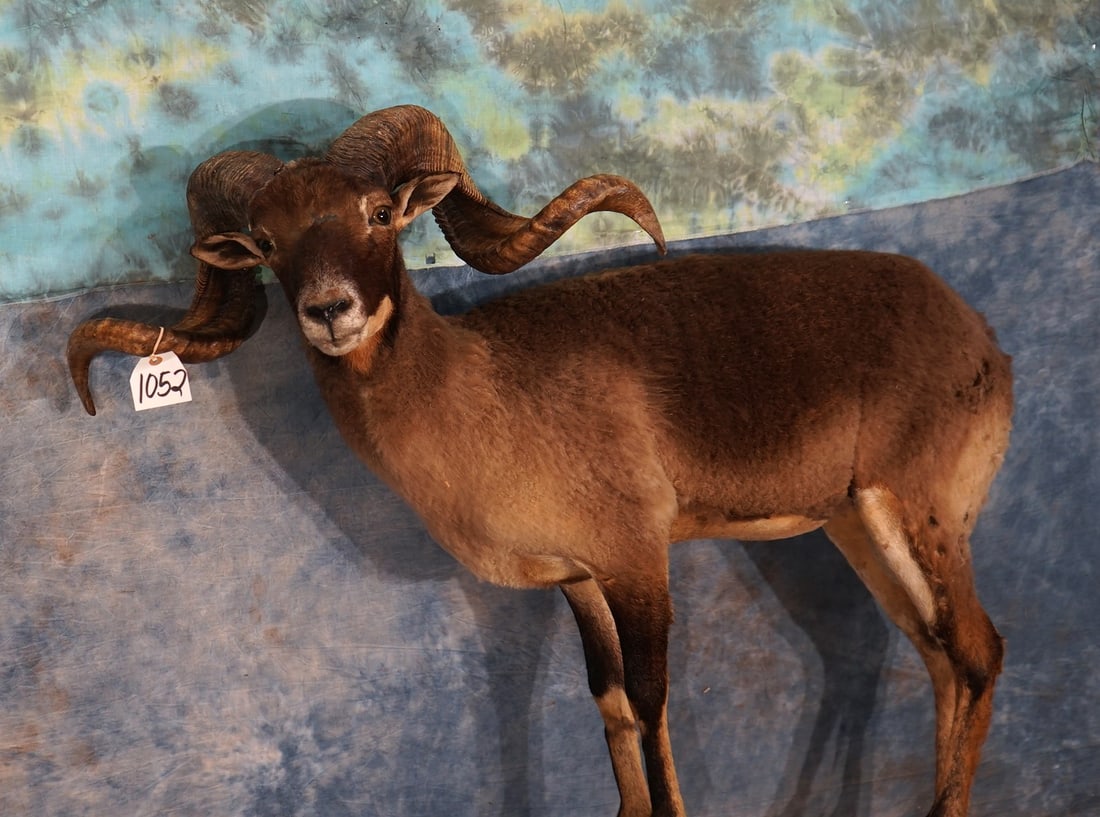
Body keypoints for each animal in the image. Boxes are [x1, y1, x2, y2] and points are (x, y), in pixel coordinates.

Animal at [68, 106, 1012, 817]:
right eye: (265, 241)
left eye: (379, 211)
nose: (329, 310)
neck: (481, 393)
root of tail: (978, 337)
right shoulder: (581, 581)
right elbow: (611, 708)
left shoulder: (640, 563)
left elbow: (653, 706)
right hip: (858, 528)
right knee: (937, 657)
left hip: (920, 517)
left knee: (979, 652)